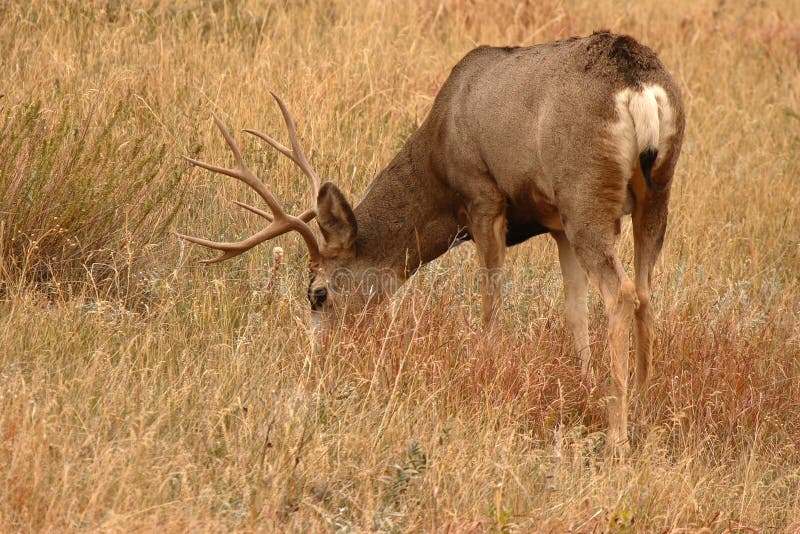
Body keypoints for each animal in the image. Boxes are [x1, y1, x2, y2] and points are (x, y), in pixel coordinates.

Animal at [177, 31, 685, 450]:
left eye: (317, 294)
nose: (317, 359)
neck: (437, 159)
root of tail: (639, 87)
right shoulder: (555, 220)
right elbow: (574, 310)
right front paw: (583, 382)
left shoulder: (483, 196)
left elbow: (492, 301)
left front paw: (486, 367)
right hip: (653, 192)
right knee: (644, 291)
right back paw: (643, 405)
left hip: (585, 189)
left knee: (620, 292)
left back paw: (618, 434)